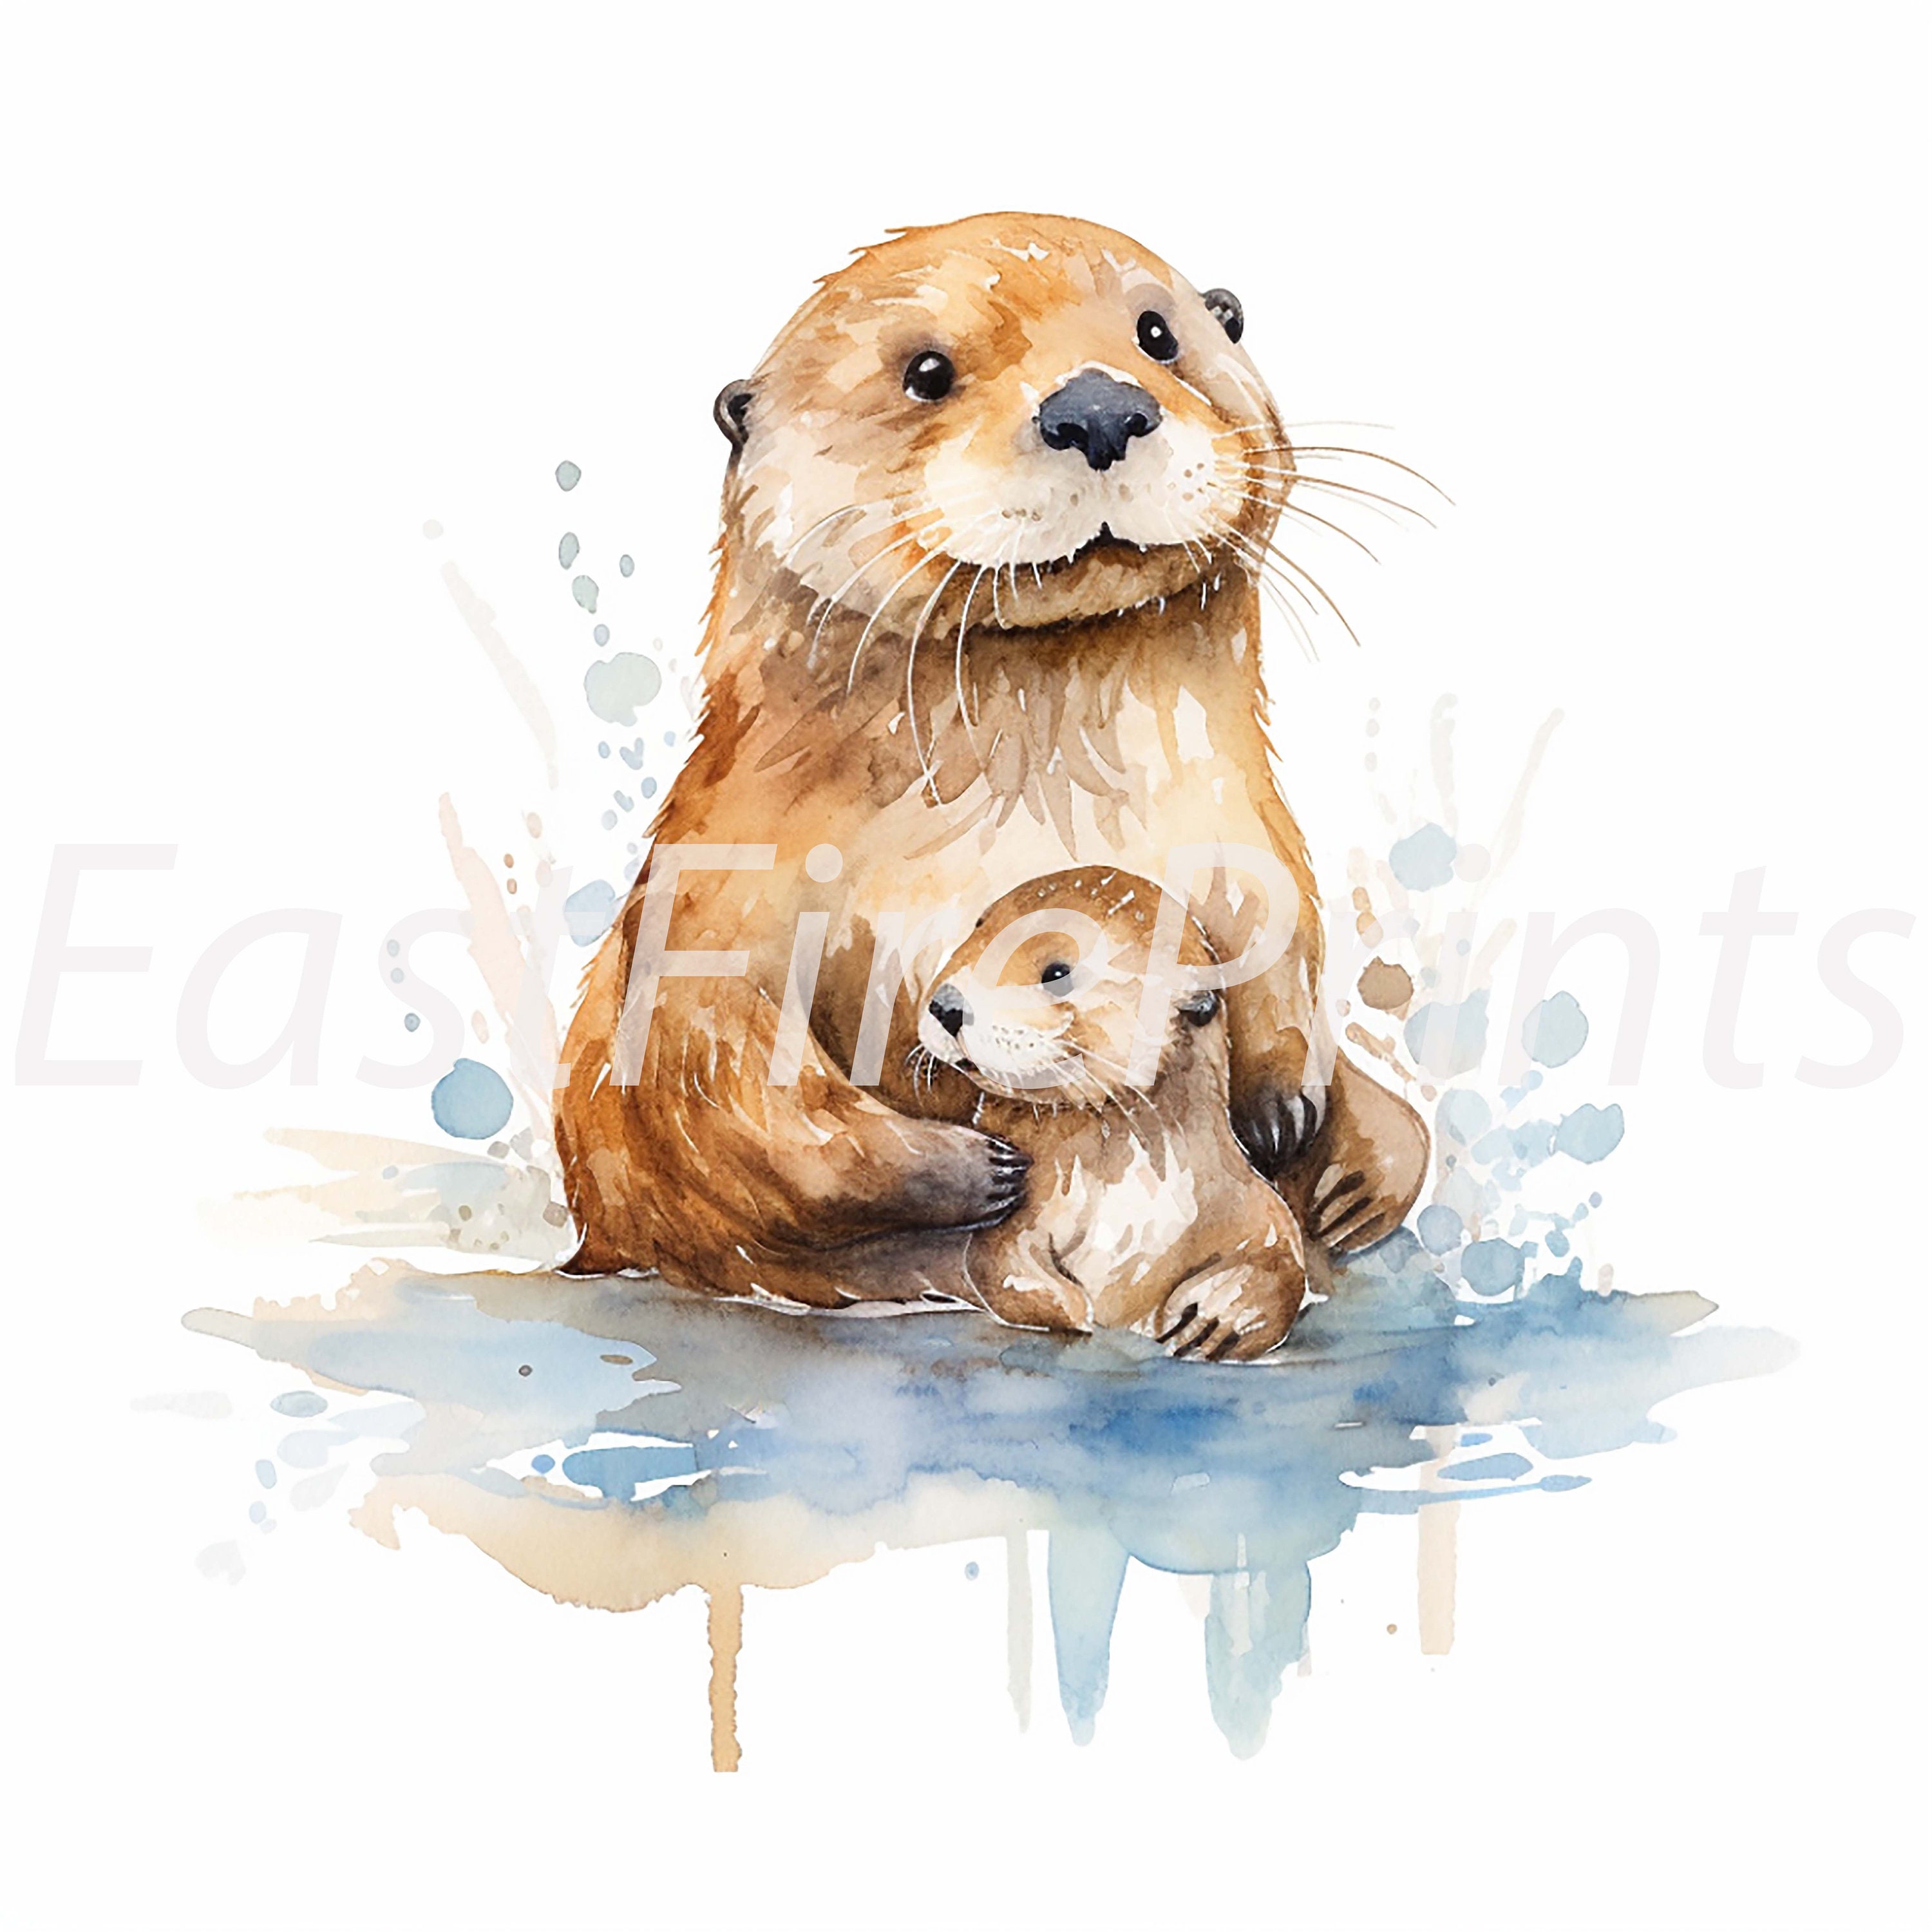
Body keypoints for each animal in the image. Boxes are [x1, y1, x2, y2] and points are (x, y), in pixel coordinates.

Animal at [919, 870, 1306, 1360]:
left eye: (1057, 973)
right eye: (977, 931)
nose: (946, 1005)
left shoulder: (1238, 1197)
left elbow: (1284, 1256)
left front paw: (1214, 1321)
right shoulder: (1025, 1210)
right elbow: (994, 1260)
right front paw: (1079, 1312)